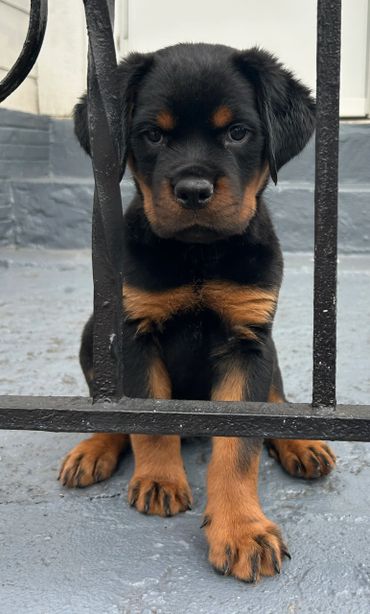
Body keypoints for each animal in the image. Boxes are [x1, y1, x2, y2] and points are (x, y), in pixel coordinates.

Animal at [59, 42, 336, 584]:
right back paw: (94, 447)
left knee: (276, 399)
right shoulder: (135, 332)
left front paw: (242, 529)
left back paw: (301, 444)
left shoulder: (247, 341)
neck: (198, 256)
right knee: (109, 406)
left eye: (237, 132)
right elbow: (149, 418)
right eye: (152, 134)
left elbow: (239, 447)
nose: (192, 190)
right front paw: (160, 481)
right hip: (92, 333)